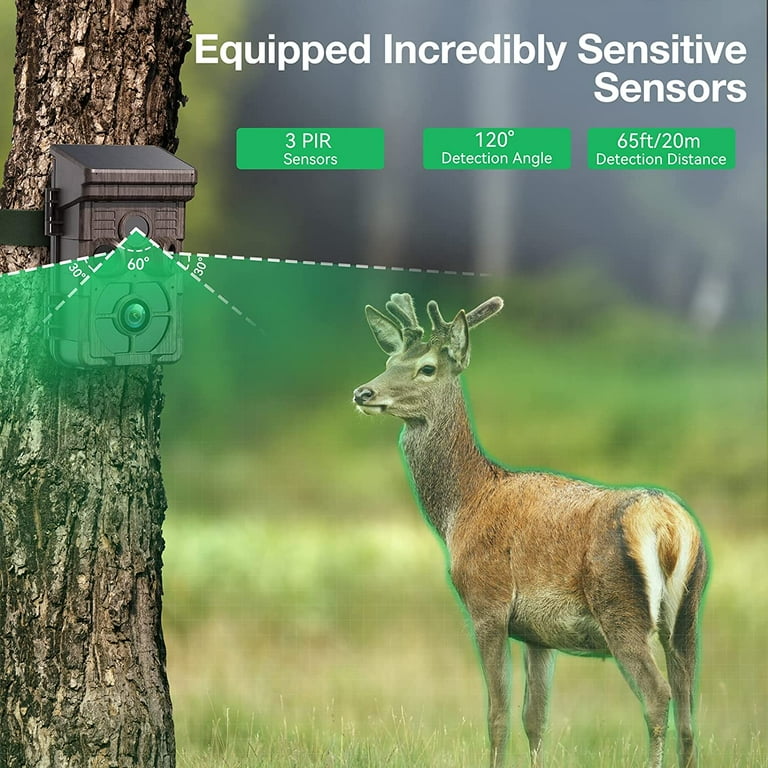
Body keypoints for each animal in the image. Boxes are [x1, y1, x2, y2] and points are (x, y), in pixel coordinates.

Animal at [352, 293, 708, 768]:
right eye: (390, 359)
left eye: (426, 367)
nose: (364, 392)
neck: (463, 505)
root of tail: (667, 524)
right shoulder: (539, 633)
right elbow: (535, 718)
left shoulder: (488, 603)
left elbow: (498, 713)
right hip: (689, 610)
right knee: (688, 705)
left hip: (621, 608)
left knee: (658, 696)